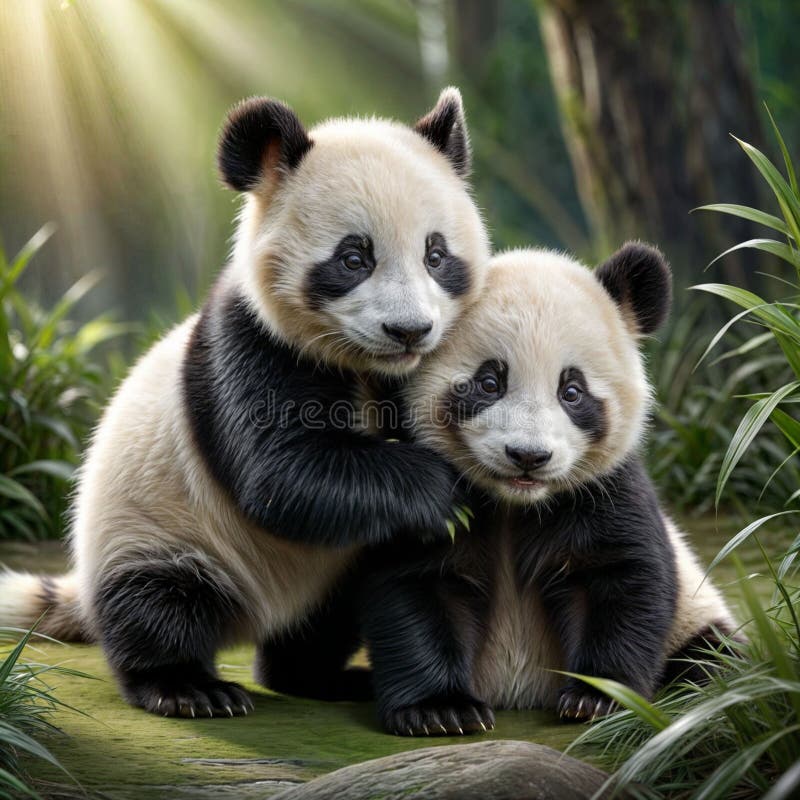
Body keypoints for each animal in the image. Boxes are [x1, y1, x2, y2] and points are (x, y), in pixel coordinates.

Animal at [0, 88, 490, 718]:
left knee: (324, 620)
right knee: (156, 607)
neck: (365, 367)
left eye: (435, 254)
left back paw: (321, 677)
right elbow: (282, 474)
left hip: (330, 569)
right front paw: (447, 491)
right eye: (353, 258)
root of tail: (257, 616)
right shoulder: (249, 342)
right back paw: (188, 686)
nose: (409, 331)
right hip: (155, 526)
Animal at [361, 243, 738, 736]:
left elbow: (625, 580)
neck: (517, 505)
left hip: (695, 618)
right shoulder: (427, 498)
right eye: (489, 383)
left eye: (572, 391)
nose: (528, 456)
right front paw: (441, 710)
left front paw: (596, 698)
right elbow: (417, 585)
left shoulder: (605, 491)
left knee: (714, 657)